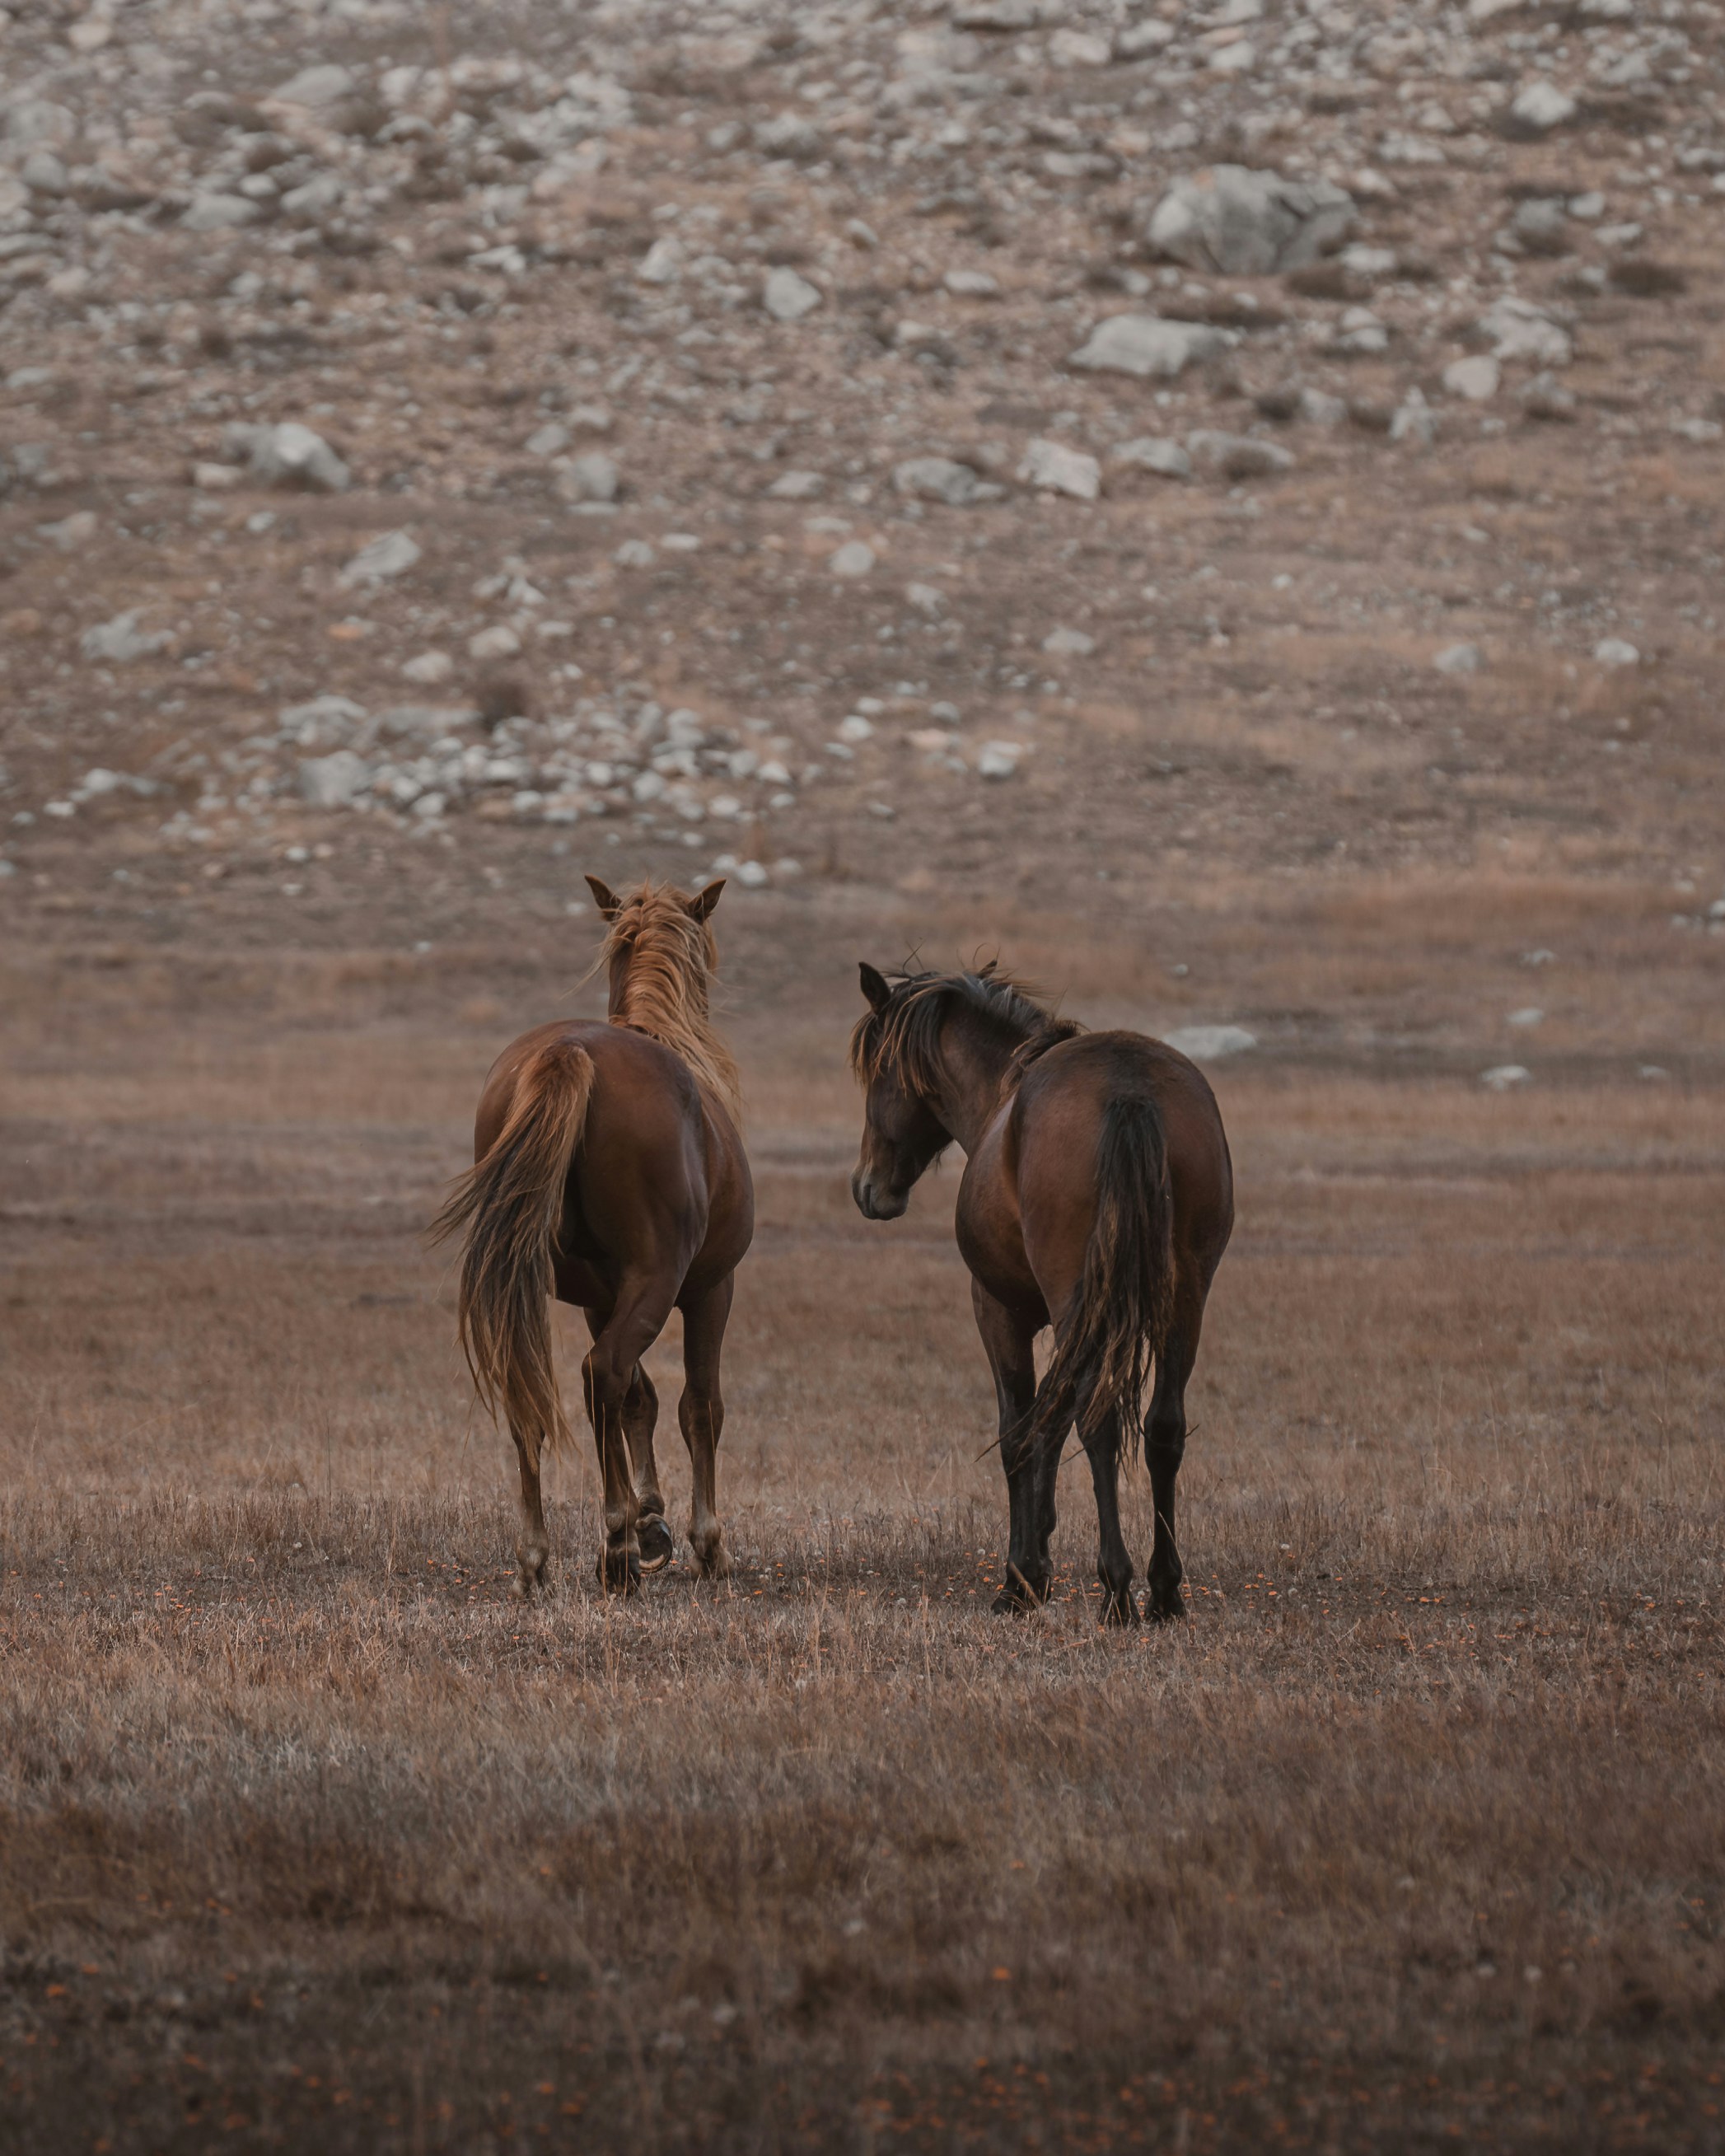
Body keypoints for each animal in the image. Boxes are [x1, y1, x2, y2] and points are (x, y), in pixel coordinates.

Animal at [432, 877, 753, 1597]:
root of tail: (568, 1053)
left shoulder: (598, 1298)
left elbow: (640, 1399)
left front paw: (651, 1517)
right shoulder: (711, 1289)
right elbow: (698, 1405)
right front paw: (700, 1540)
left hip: (537, 1287)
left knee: (537, 1393)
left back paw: (537, 1556)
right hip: (663, 1281)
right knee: (602, 1373)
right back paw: (615, 1548)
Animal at [849, 963, 1233, 1625]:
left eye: (879, 1071)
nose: (868, 1188)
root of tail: (1130, 1091)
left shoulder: (1000, 1310)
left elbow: (1018, 1433)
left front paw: (1021, 1578)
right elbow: (1047, 1426)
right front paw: (1040, 1561)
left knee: (1096, 1422)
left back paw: (1117, 1589)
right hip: (1183, 1304)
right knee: (1163, 1427)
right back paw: (1164, 1591)